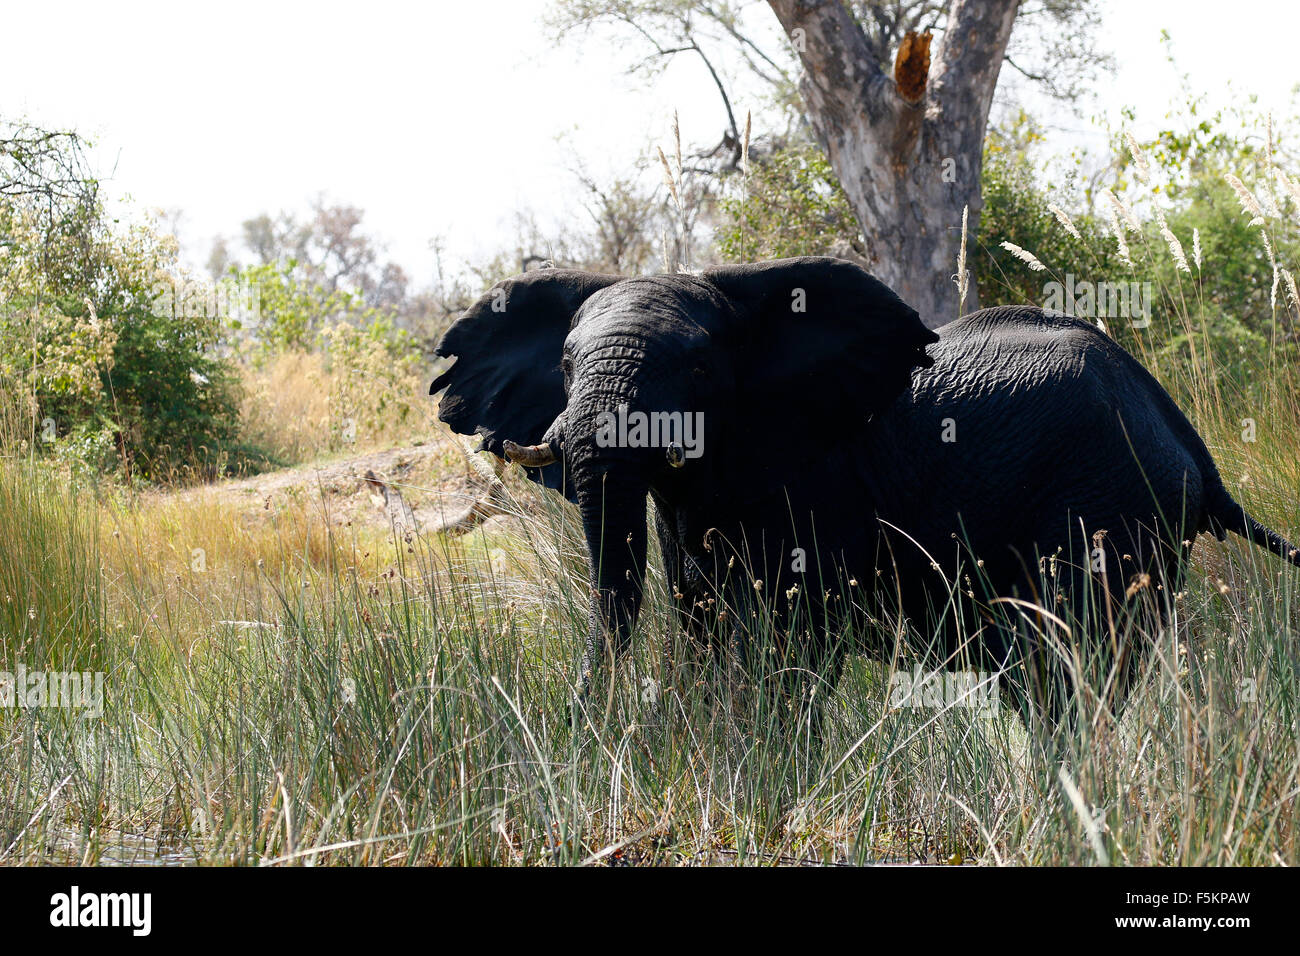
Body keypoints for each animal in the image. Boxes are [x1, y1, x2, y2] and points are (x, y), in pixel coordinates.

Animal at [430, 256, 1300, 726]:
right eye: (565, 365)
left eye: (702, 369)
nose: (583, 719)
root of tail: (1187, 435)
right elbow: (705, 624)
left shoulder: (814, 483)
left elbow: (792, 644)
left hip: (1113, 503)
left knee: (1067, 661)